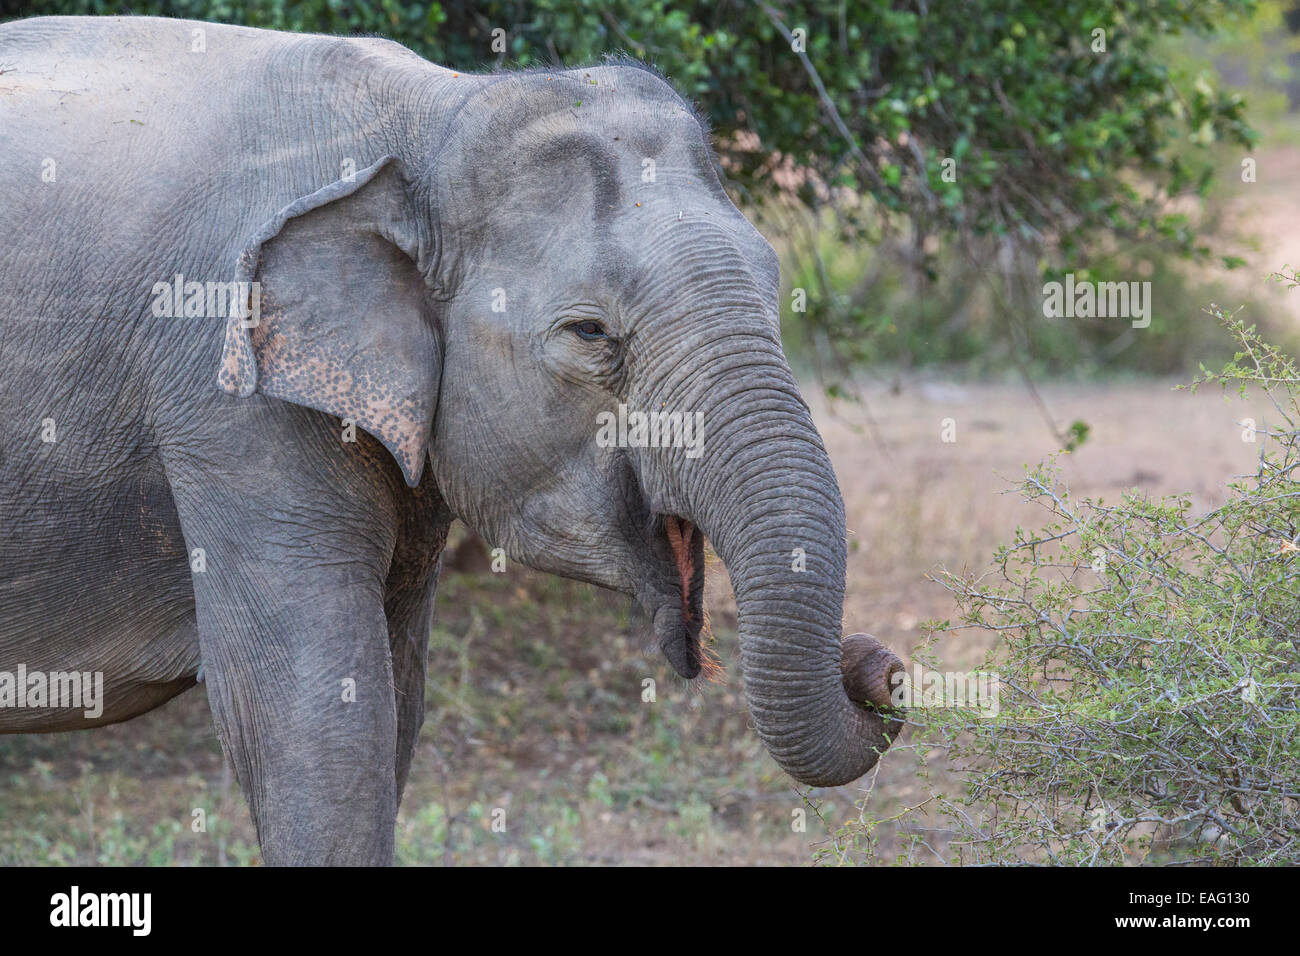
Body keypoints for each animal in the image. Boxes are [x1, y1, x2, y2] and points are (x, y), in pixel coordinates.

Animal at [0, 15, 903, 864]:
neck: (431, 114)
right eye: (589, 332)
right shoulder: (226, 399)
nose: (882, 670)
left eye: (775, 286)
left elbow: (396, 691)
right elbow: (310, 708)